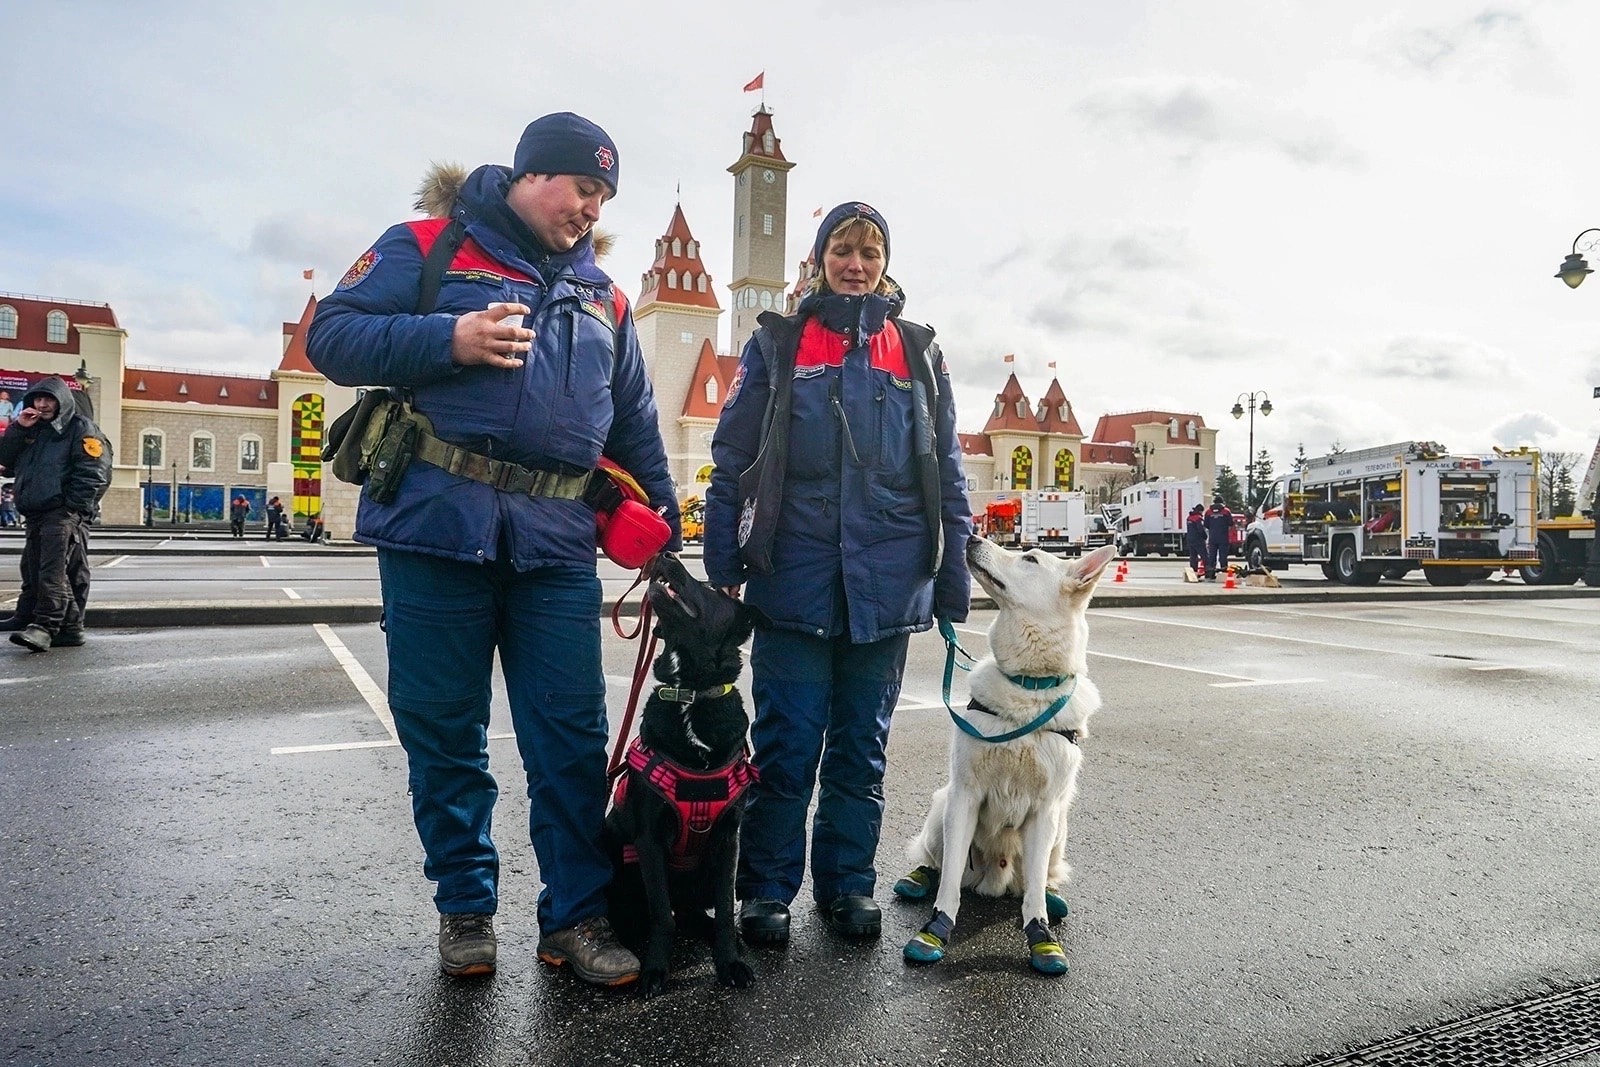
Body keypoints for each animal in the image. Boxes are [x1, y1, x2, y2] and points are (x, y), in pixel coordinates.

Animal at [601, 556, 758, 998]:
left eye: (709, 588)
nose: (667, 555)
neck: (690, 696)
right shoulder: (649, 839)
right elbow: (662, 916)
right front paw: (655, 970)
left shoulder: (729, 839)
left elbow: (725, 911)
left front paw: (729, 962)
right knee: (658, 913)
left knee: (692, 912)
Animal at [902, 543, 1113, 979]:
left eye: (1030, 558)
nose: (971, 539)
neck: (1028, 689)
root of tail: (993, 878)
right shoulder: (965, 797)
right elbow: (949, 880)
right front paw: (935, 930)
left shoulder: (1046, 811)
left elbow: (1032, 893)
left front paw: (1041, 935)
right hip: (943, 806)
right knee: (934, 860)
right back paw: (917, 879)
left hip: (1060, 828)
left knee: (1037, 878)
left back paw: (1052, 898)